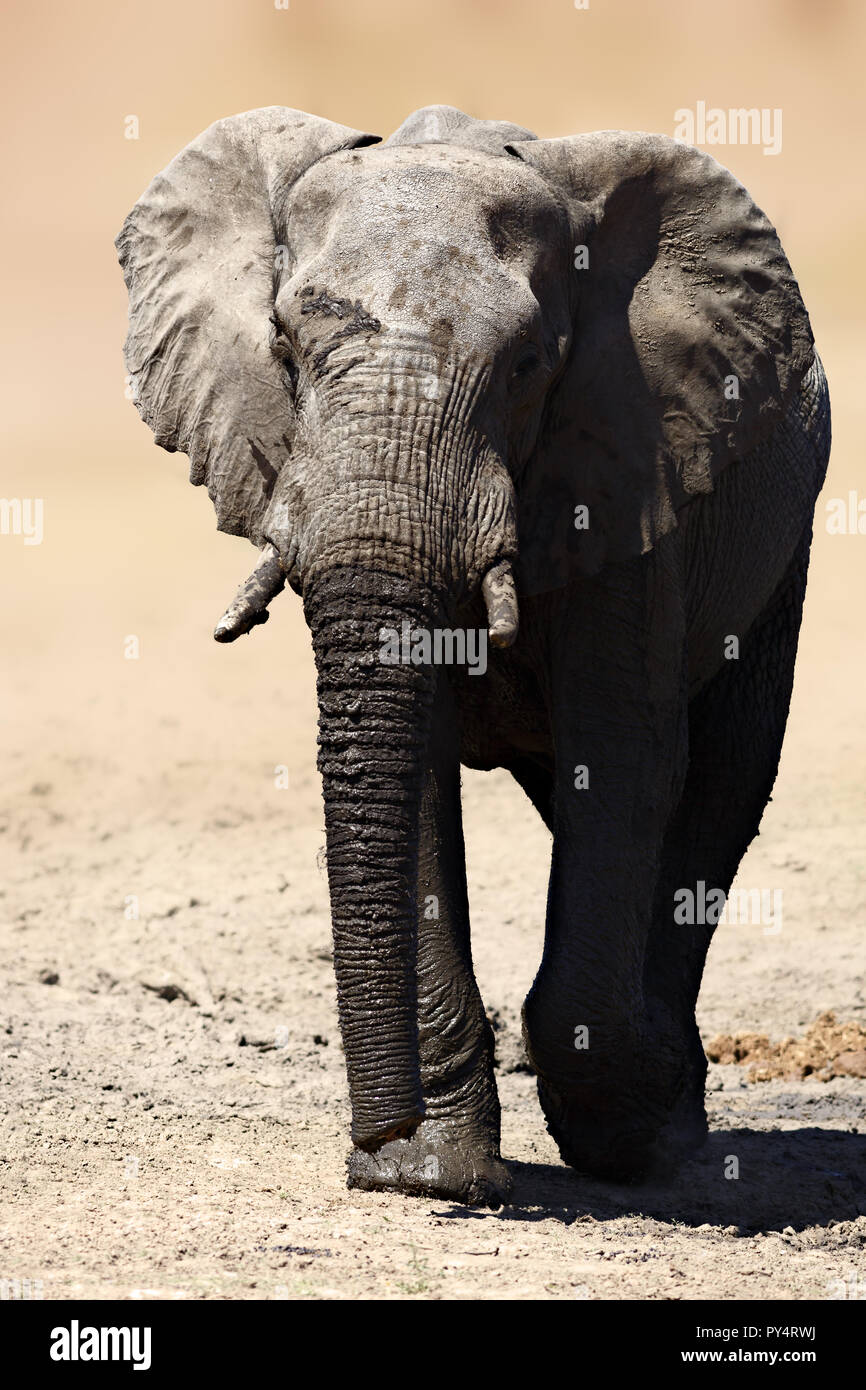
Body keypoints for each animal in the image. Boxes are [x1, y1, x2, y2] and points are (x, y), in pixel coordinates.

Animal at [117, 104, 830, 1208]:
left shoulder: (628, 454)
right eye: (282, 343)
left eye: (532, 363)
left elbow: (622, 762)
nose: (376, 1139)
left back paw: (670, 1119)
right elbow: (412, 772)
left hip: (778, 540)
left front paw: (617, 1131)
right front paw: (430, 1172)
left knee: (721, 781)